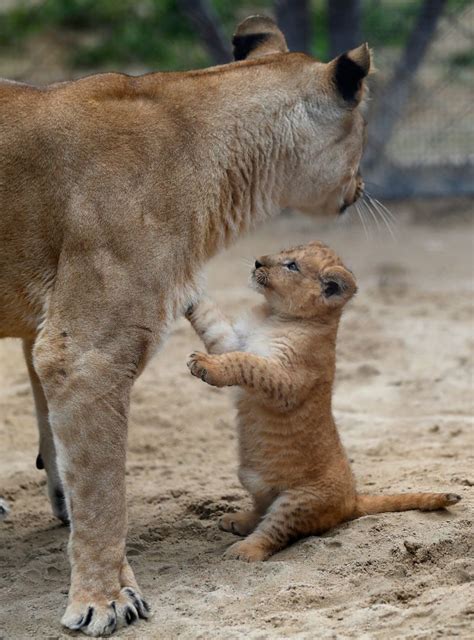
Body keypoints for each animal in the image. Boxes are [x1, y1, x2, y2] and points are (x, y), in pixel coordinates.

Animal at [0, 15, 371, 636]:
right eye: (363, 130)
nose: (363, 186)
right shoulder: (85, 354)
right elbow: (104, 488)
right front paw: (105, 600)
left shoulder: (52, 331)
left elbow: (76, 466)